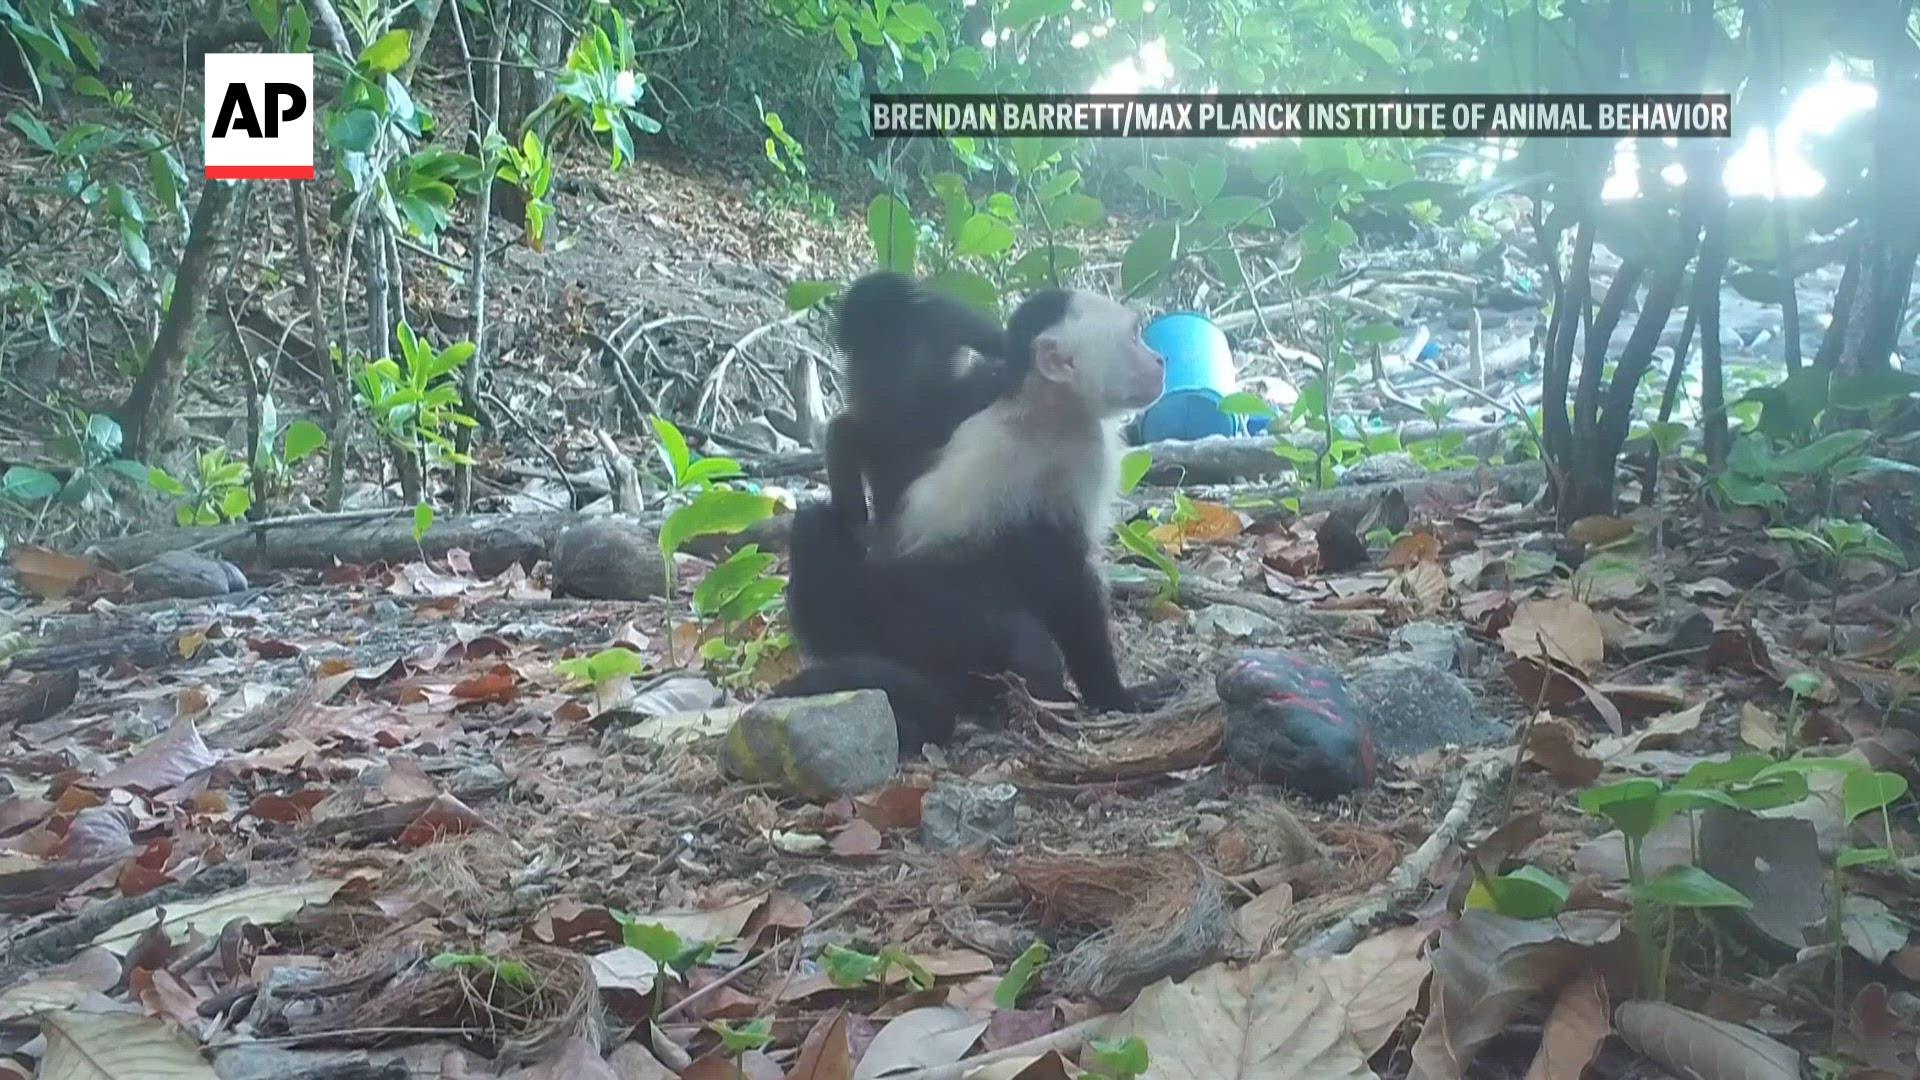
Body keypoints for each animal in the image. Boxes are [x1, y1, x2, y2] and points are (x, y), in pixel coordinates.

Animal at [776, 285, 1168, 751]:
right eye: (1135, 337)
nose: (1161, 360)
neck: (1044, 420)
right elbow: (908, 569)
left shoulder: (1077, 450)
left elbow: (1070, 578)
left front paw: (1112, 694)